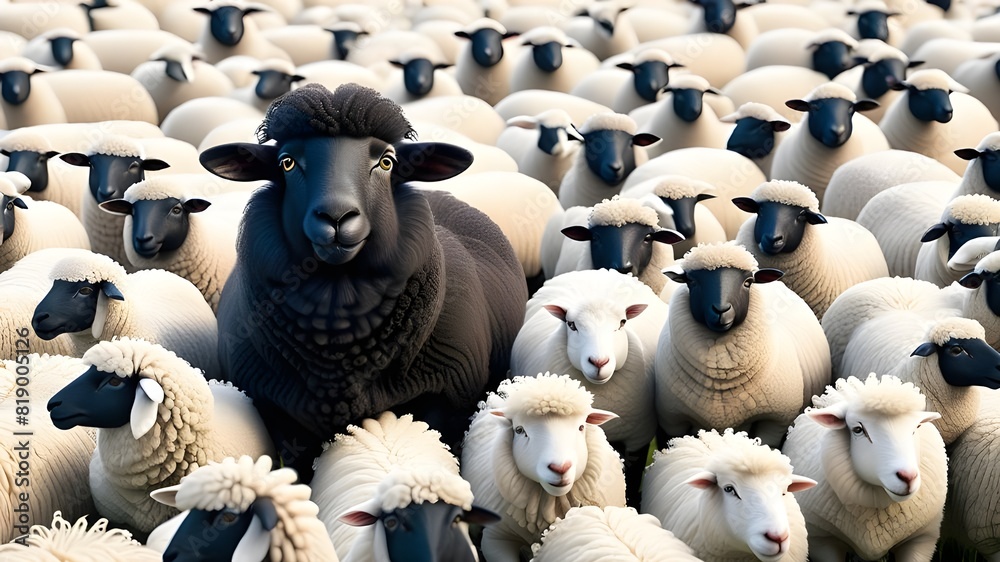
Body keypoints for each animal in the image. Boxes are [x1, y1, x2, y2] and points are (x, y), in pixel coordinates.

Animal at [510, 269, 669, 504]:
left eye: (622, 322)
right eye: (571, 324)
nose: (599, 362)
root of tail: (596, 272)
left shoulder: (637, 441)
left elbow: (630, 483)